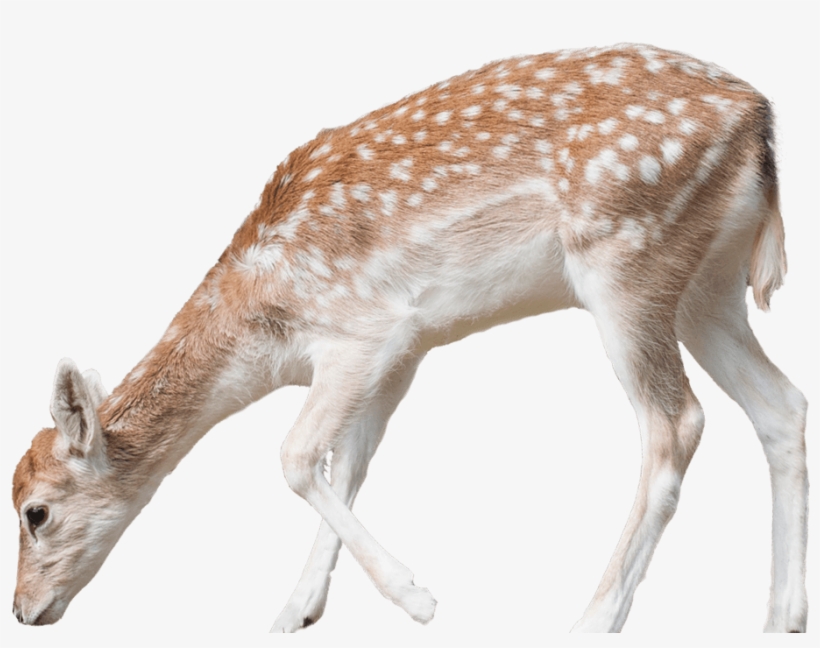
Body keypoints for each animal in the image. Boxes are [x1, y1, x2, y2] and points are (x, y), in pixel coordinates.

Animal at [11, 43, 808, 633]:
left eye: (35, 512)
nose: (21, 610)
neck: (261, 334)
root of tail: (759, 118)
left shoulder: (364, 329)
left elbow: (295, 457)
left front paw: (418, 599)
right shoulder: (403, 352)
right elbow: (348, 466)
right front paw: (295, 611)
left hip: (625, 259)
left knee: (676, 421)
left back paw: (593, 618)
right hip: (708, 287)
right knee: (783, 405)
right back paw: (782, 616)